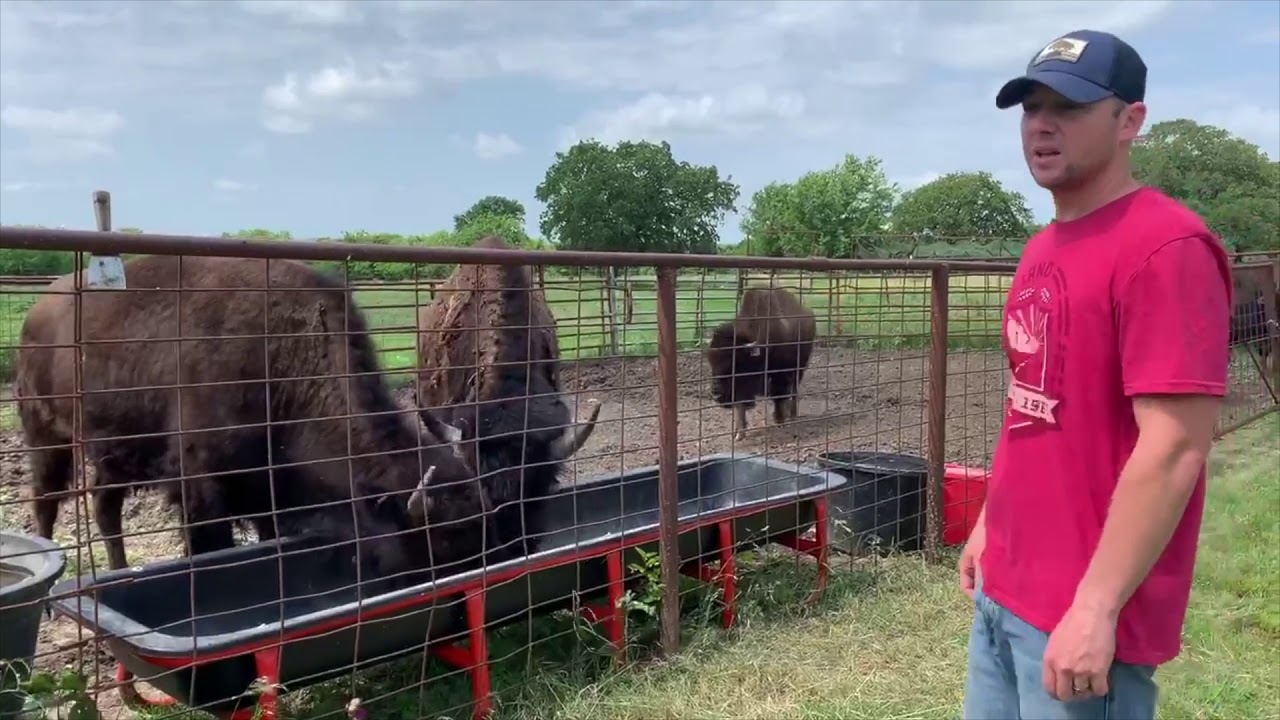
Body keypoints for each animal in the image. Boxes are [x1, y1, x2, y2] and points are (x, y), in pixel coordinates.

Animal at [14, 254, 490, 583]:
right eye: (439, 546)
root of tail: (38, 309)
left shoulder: (266, 493)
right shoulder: (201, 488)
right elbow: (209, 546)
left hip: (114, 454)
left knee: (104, 507)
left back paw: (118, 570)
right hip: (46, 436)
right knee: (45, 500)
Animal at [705, 285, 817, 441]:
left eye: (735, 363)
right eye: (711, 363)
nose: (716, 395)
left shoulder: (778, 376)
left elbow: (778, 397)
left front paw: (779, 421)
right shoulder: (741, 390)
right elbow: (740, 407)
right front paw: (739, 434)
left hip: (799, 368)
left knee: (793, 391)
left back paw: (792, 415)